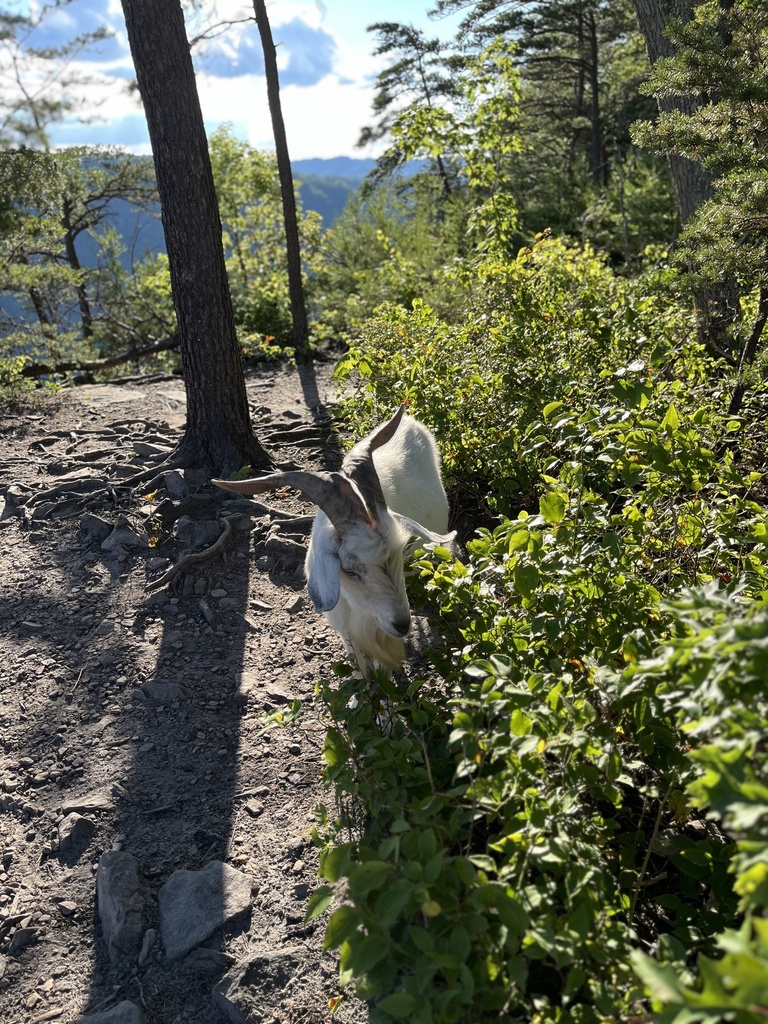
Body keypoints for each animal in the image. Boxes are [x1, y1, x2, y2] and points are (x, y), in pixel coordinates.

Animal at [212, 405, 454, 675]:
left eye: (400, 553)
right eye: (349, 570)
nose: (402, 624)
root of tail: (412, 422)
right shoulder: (346, 628)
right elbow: (358, 664)